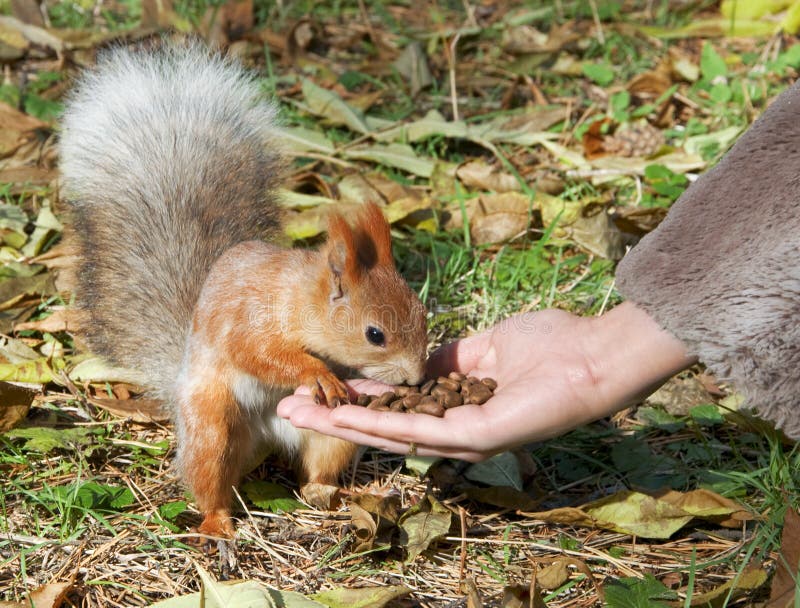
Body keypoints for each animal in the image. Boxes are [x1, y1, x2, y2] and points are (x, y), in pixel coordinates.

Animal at [58, 43, 428, 539]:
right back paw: (218, 524)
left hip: (328, 436)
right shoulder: (249, 316)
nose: (416, 378)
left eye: (422, 313)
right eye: (375, 334)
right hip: (211, 423)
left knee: (315, 471)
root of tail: (267, 433)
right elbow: (255, 352)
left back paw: (332, 494)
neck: (296, 297)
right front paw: (314, 372)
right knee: (209, 473)